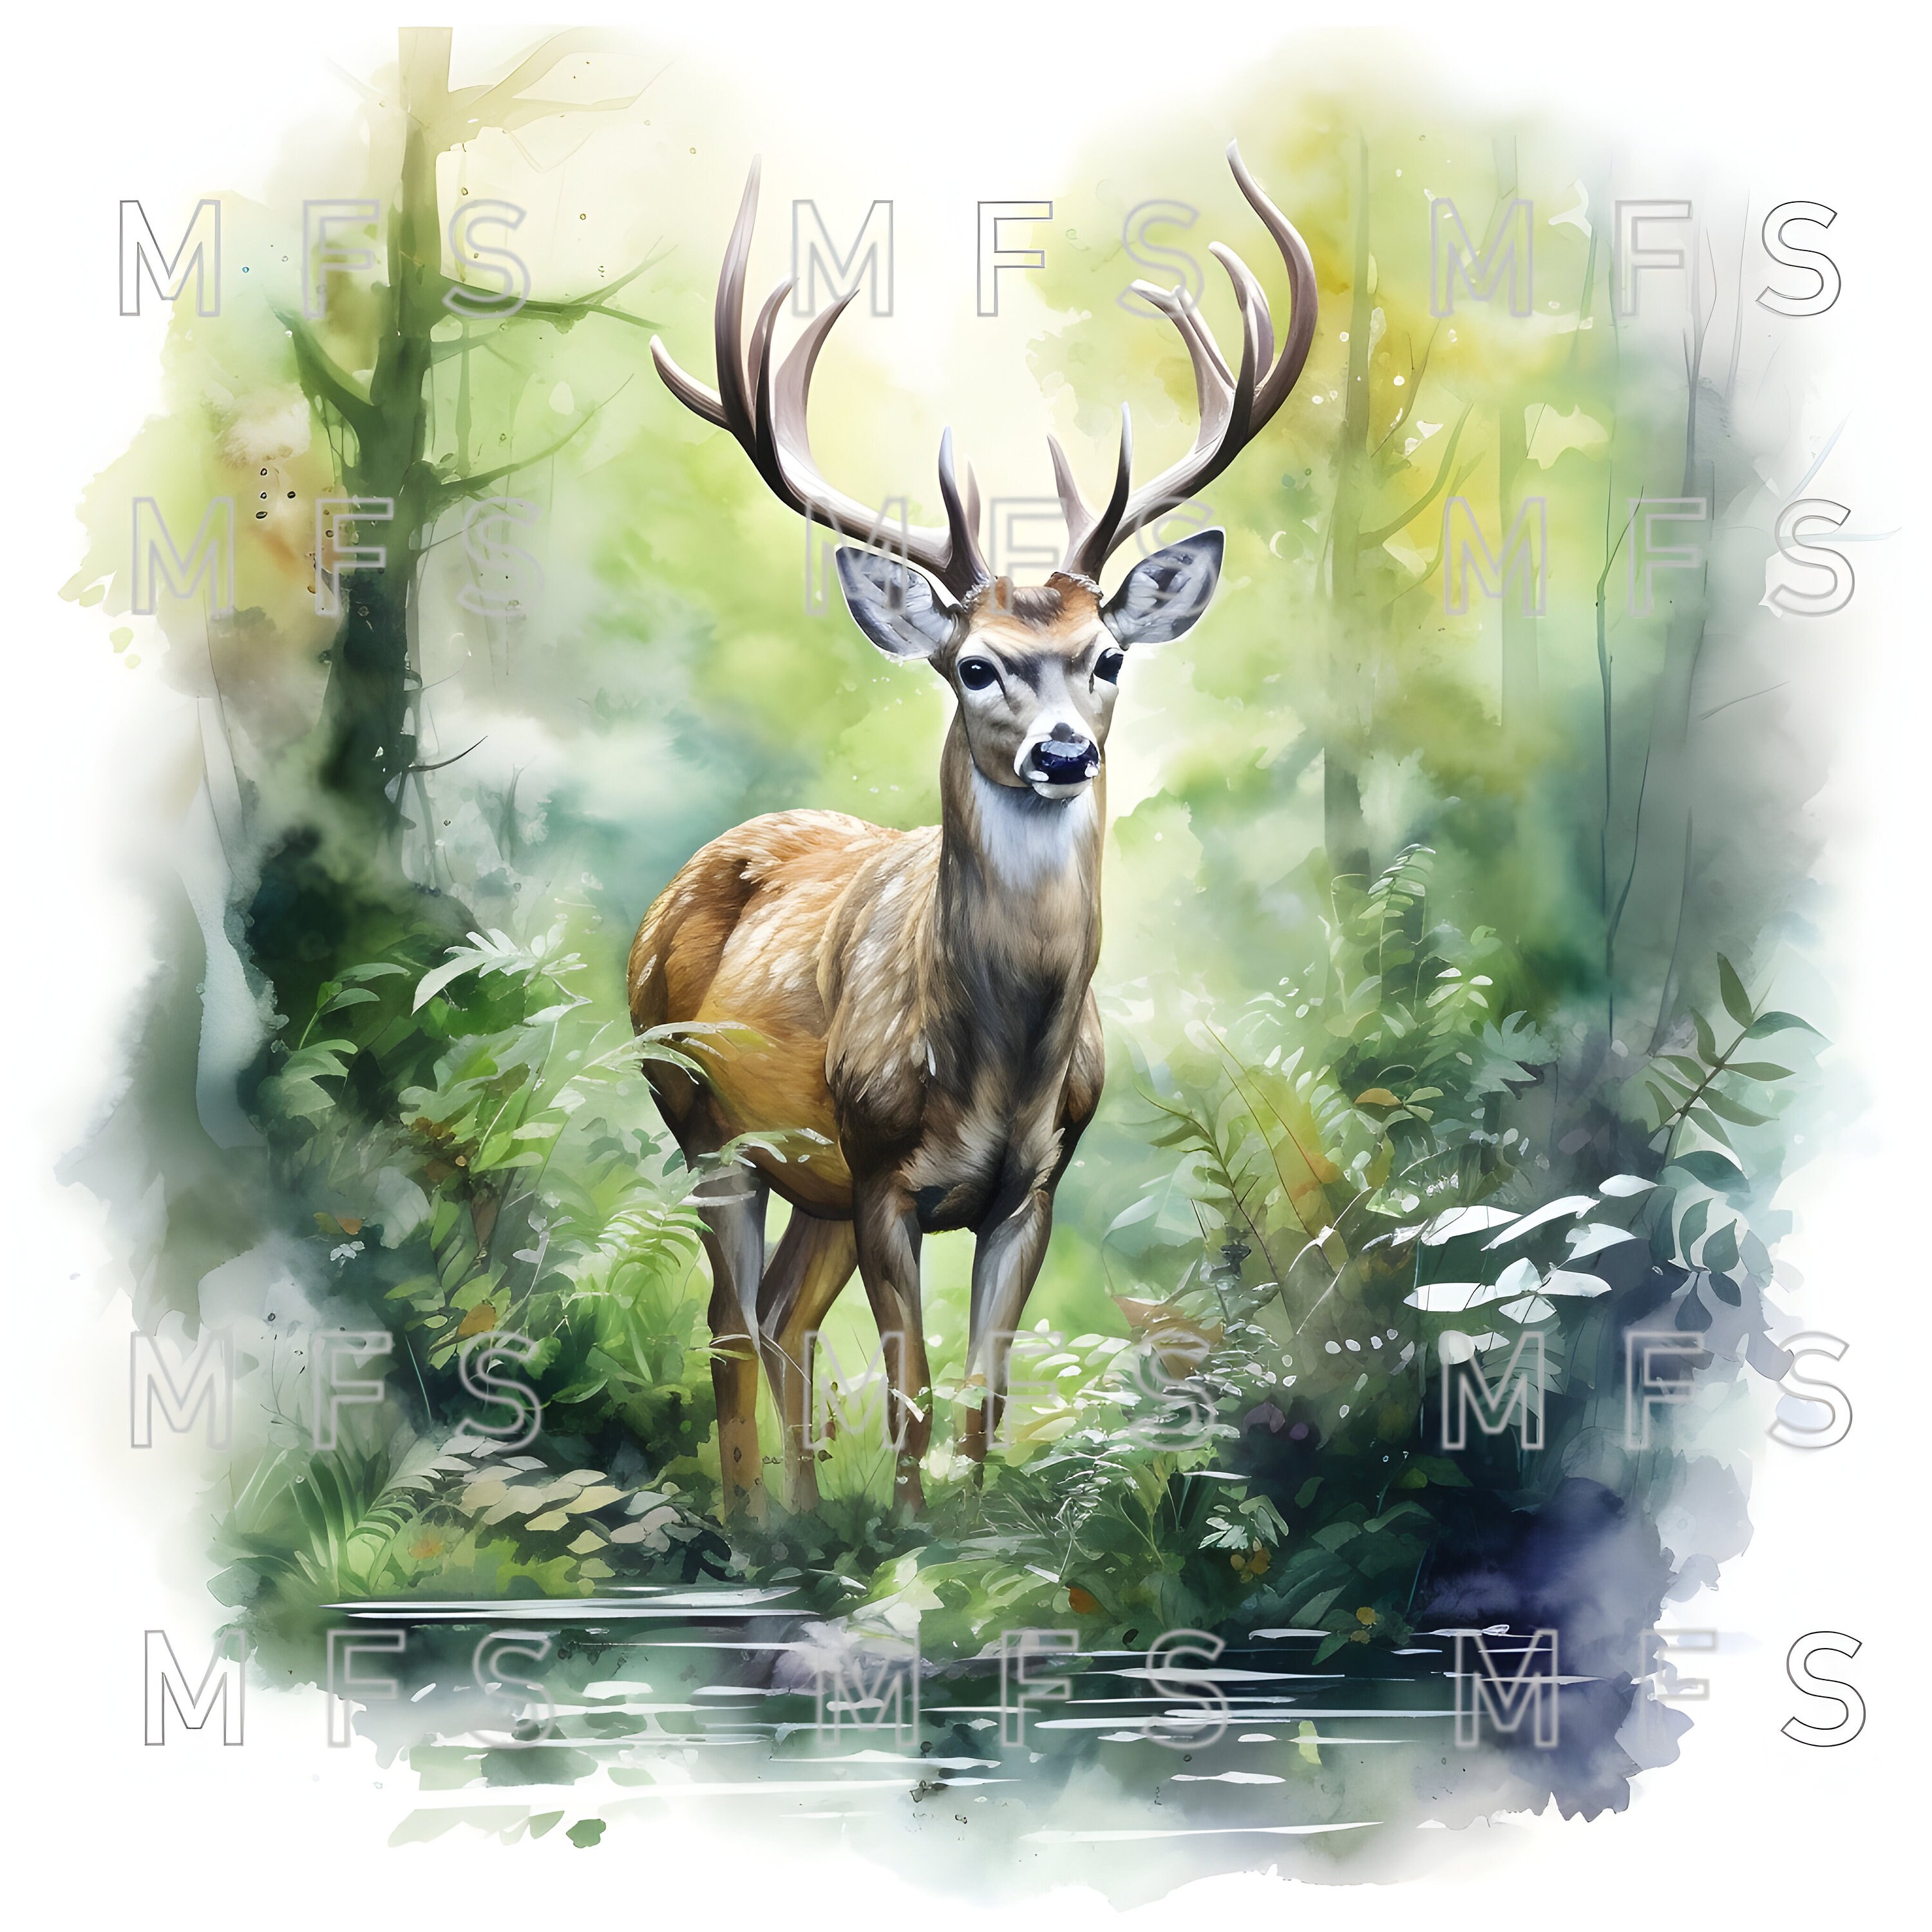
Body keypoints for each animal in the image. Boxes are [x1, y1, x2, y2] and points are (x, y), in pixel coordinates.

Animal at [630, 144, 1316, 1519]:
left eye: (1109, 656)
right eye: (975, 666)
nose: (1065, 752)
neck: (999, 1064)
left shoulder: (1033, 1184)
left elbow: (983, 1393)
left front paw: (978, 1530)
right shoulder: (884, 1168)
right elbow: (908, 1387)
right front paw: (908, 1532)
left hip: (810, 1179)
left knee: (782, 1315)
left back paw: (801, 1520)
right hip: (700, 1115)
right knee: (728, 1324)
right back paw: (749, 1525)